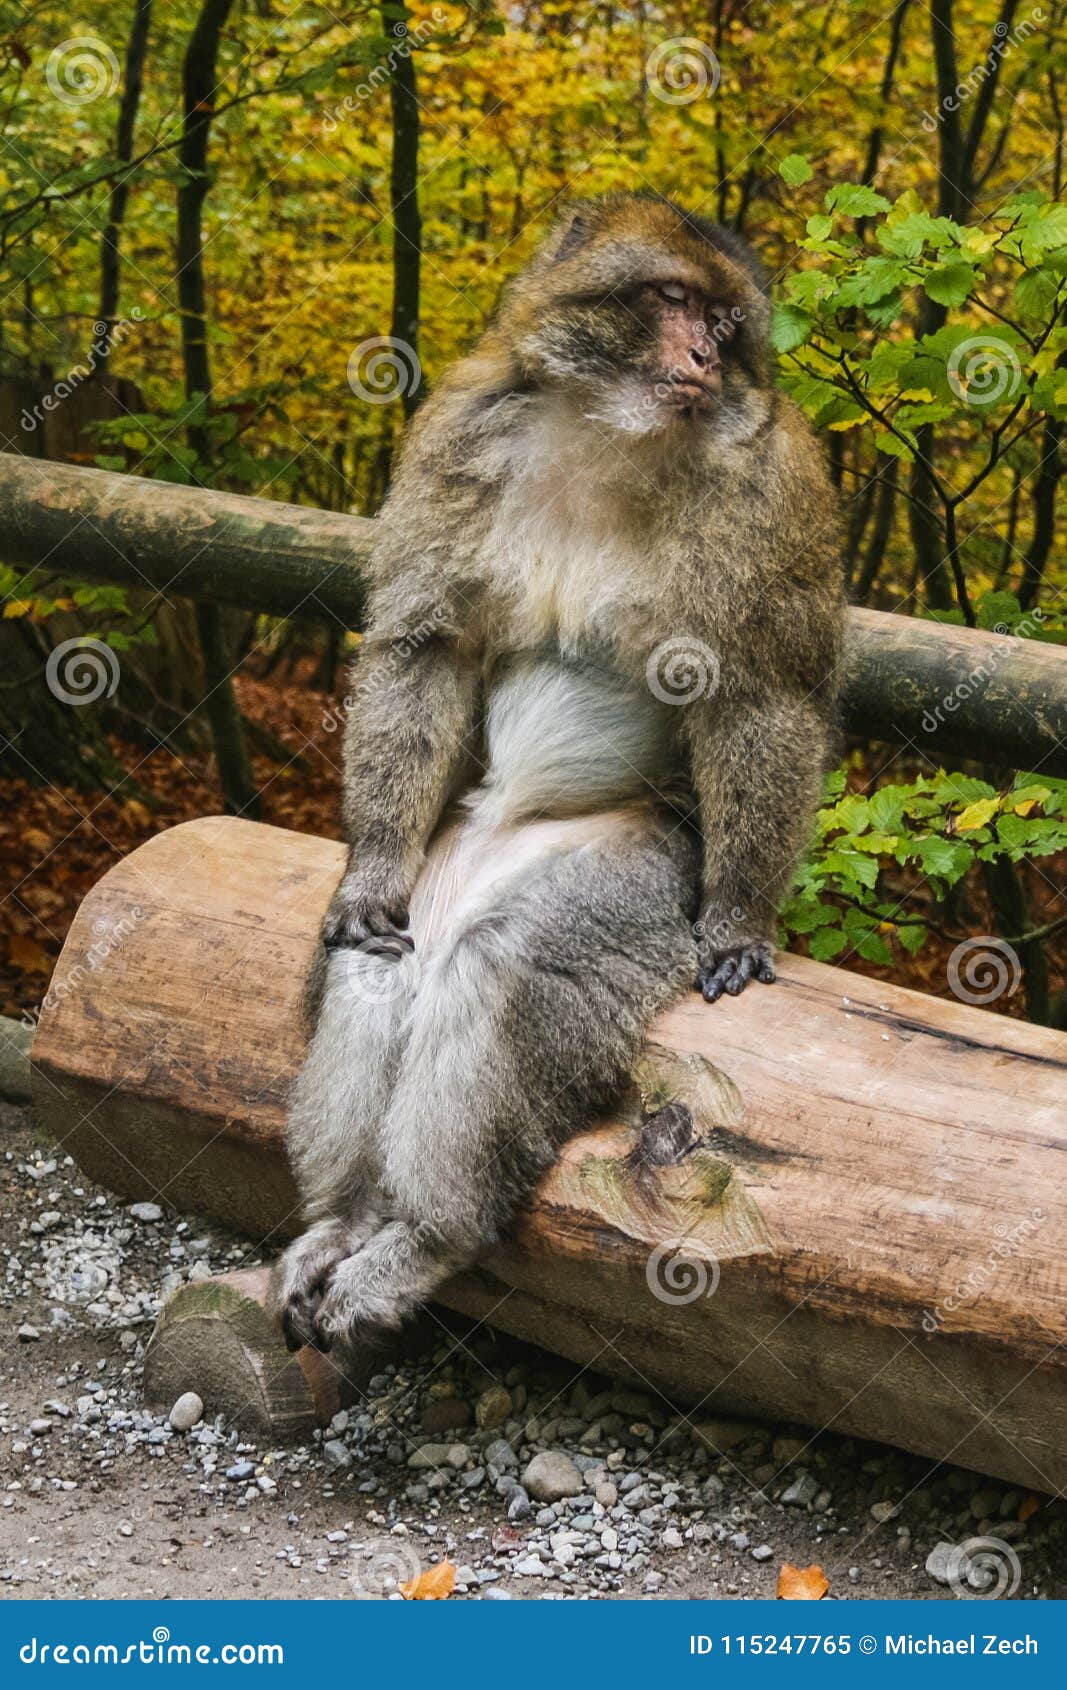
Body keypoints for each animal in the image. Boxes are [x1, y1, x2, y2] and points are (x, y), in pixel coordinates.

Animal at [271, 192, 844, 1354]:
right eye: (670, 299)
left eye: (723, 323)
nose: (701, 355)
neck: (603, 429)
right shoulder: (464, 429)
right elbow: (426, 646)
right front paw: (372, 863)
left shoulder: (769, 486)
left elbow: (758, 694)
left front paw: (738, 920)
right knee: (380, 964)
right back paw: (347, 1222)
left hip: (637, 867)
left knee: (502, 962)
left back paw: (420, 1240)